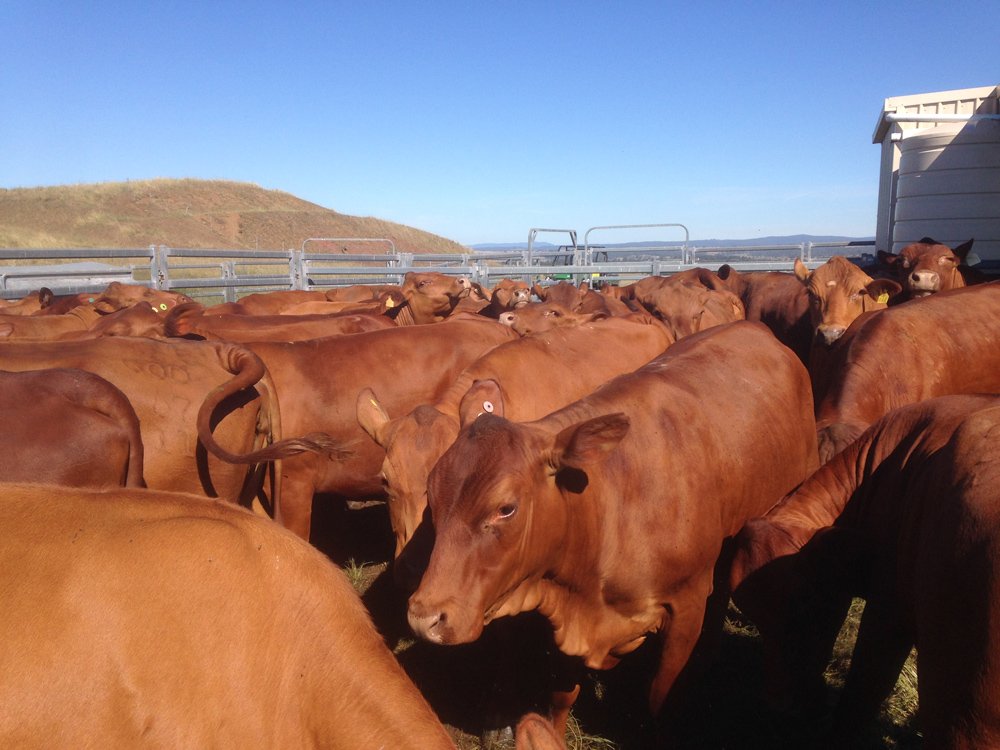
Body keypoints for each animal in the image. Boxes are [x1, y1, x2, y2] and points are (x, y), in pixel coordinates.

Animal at [407, 321, 818, 735]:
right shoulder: (568, 612)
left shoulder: (685, 608)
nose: (425, 618)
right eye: (432, 495)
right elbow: (561, 695)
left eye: (506, 508)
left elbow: (660, 702)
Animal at [730, 394, 1000, 748]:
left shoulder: (888, 606)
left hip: (965, 715)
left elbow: (862, 692)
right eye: (755, 619)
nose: (778, 704)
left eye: (807, 605)